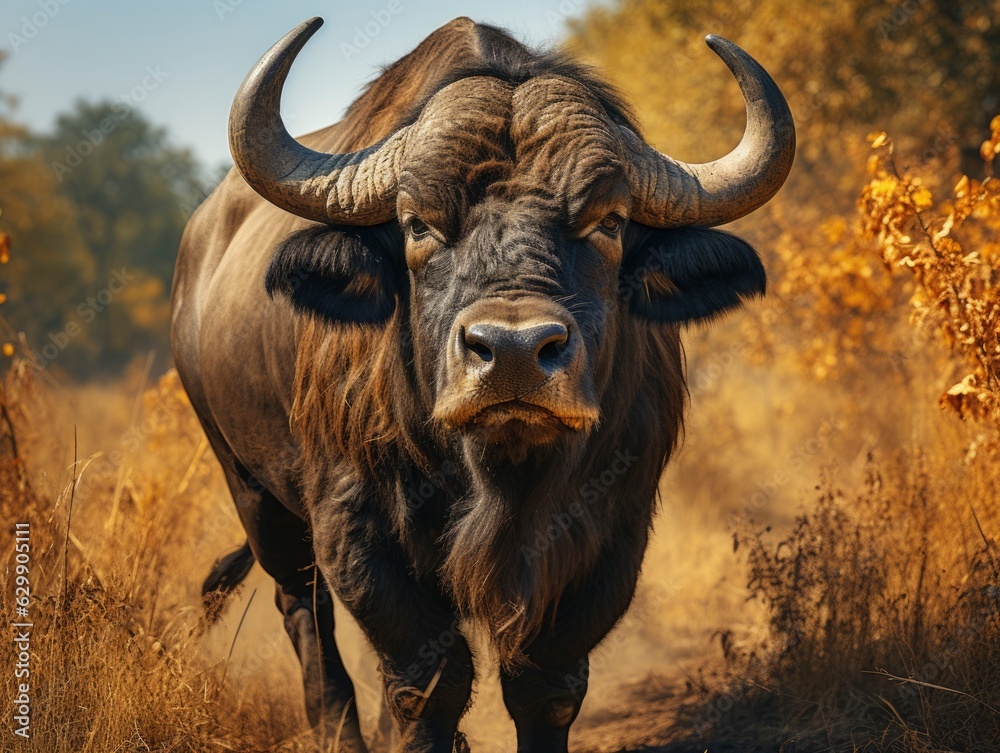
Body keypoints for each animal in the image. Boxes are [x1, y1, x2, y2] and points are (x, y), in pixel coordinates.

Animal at [171, 15, 794, 753]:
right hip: (251, 487)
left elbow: (546, 686)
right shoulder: (354, 525)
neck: (501, 475)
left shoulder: (616, 525)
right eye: (416, 224)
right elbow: (428, 682)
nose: (516, 353)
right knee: (304, 610)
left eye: (610, 222)